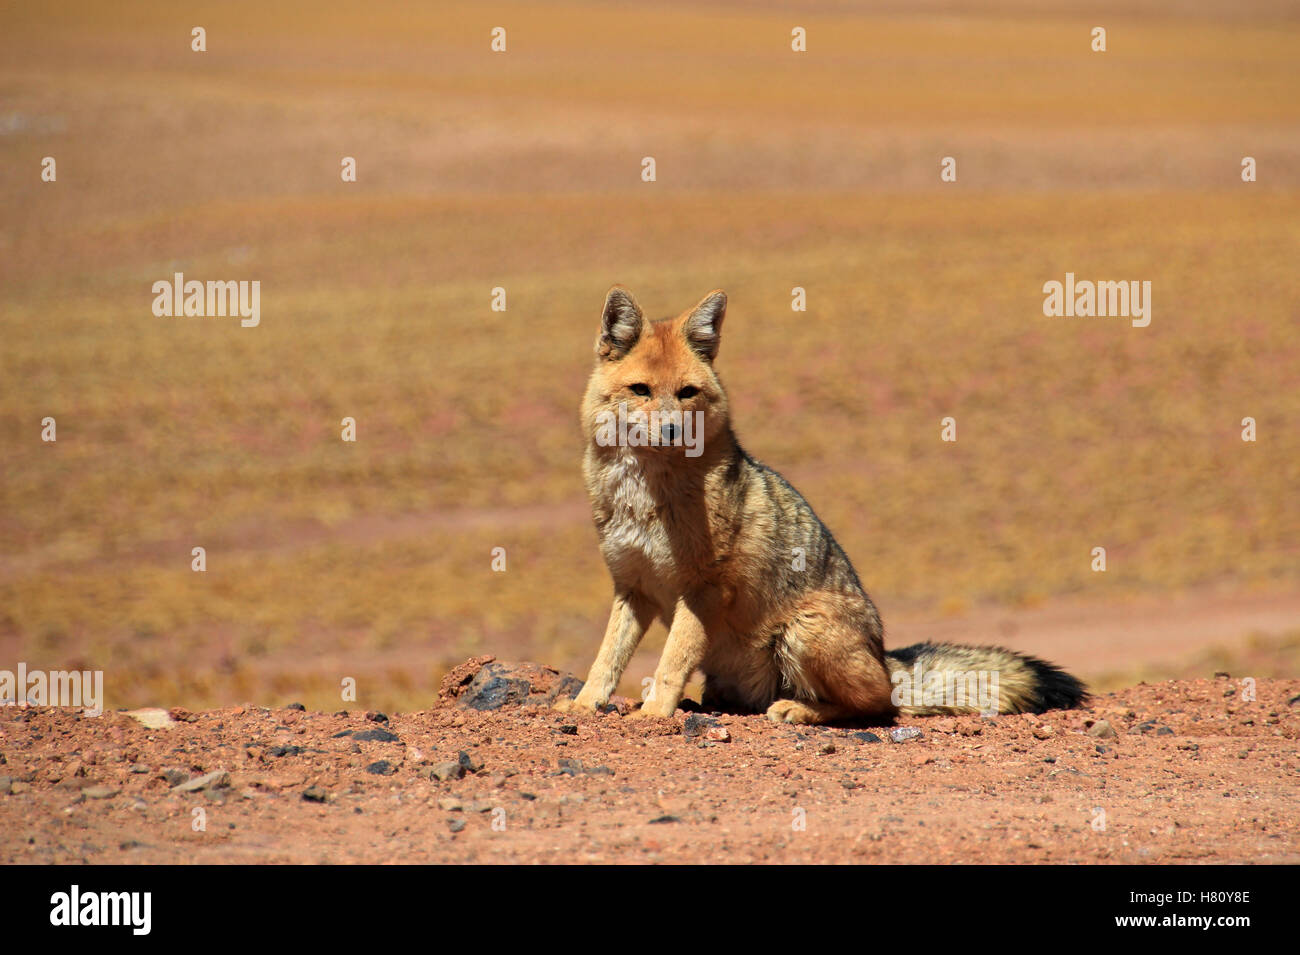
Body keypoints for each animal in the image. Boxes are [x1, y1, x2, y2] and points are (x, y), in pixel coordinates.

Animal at [557, 285, 1087, 724]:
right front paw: (583, 704)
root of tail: (885, 656)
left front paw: (653, 713)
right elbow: (606, 658)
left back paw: (798, 709)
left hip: (805, 630)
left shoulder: (702, 590)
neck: (644, 497)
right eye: (640, 390)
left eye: (687, 393)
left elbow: (670, 661)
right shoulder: (633, 587)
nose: (671, 431)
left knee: (876, 706)